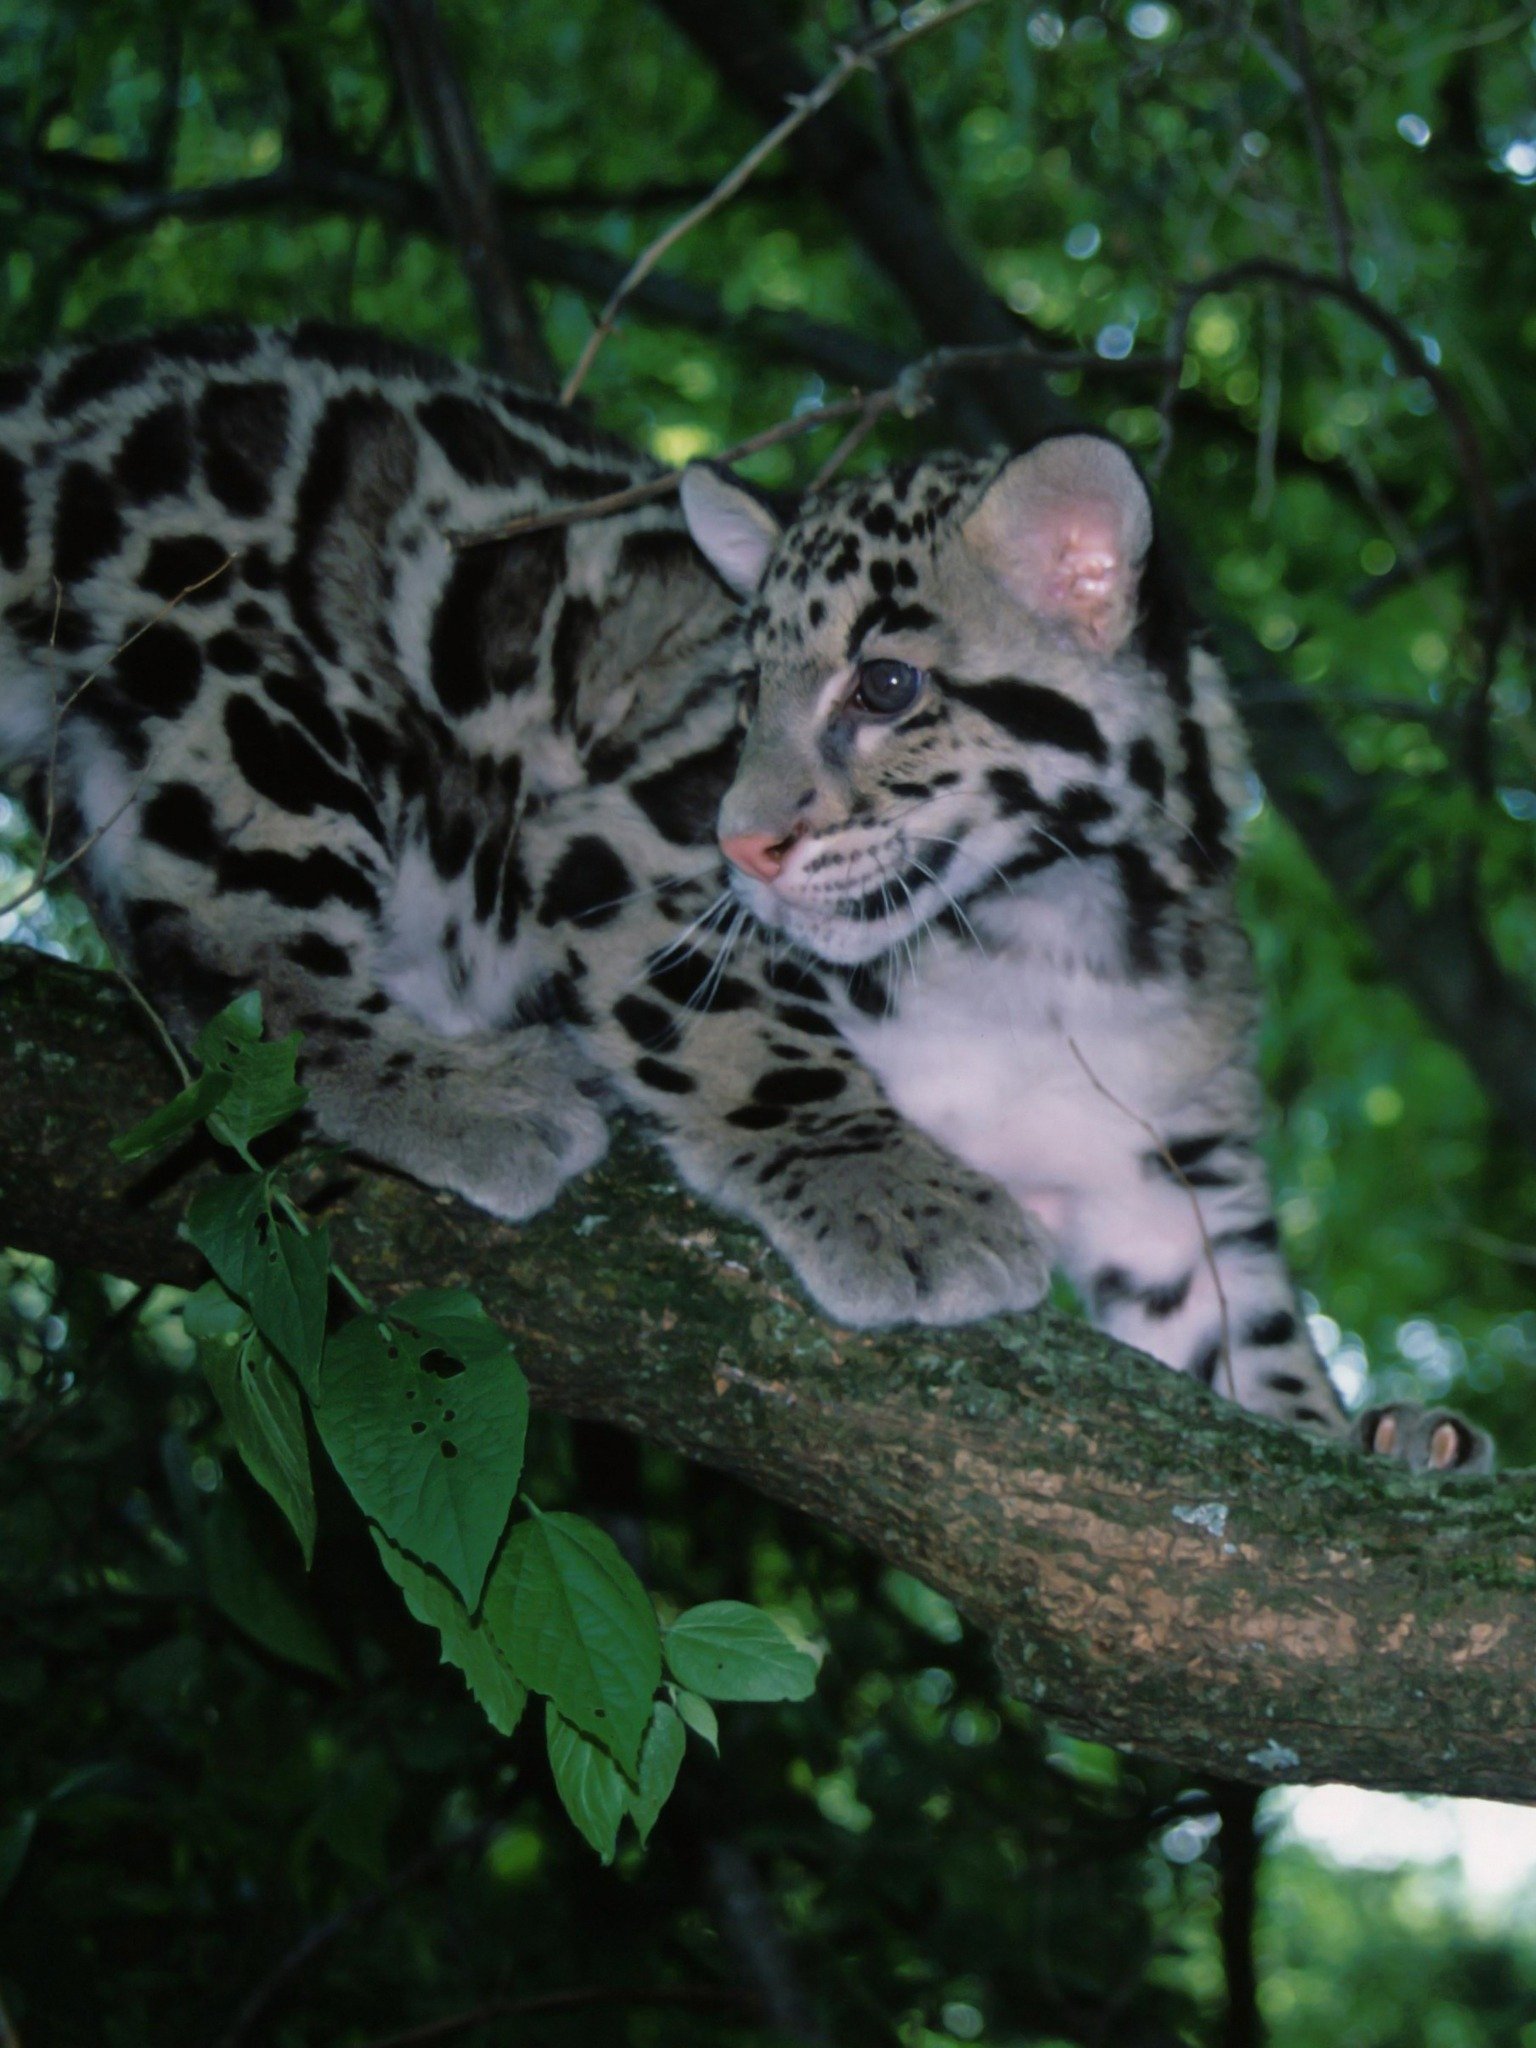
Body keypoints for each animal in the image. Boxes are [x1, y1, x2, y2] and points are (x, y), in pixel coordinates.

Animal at [0, 322, 1487, 1474]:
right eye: (743, 696)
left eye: (884, 687)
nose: (746, 842)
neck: (1054, 931)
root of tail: (68, 379)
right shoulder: (612, 846)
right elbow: (752, 1038)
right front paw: (892, 1190)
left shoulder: (1172, 1161)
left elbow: (1249, 1345)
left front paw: (1366, 1439)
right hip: (236, 682)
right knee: (247, 958)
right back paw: (460, 1088)